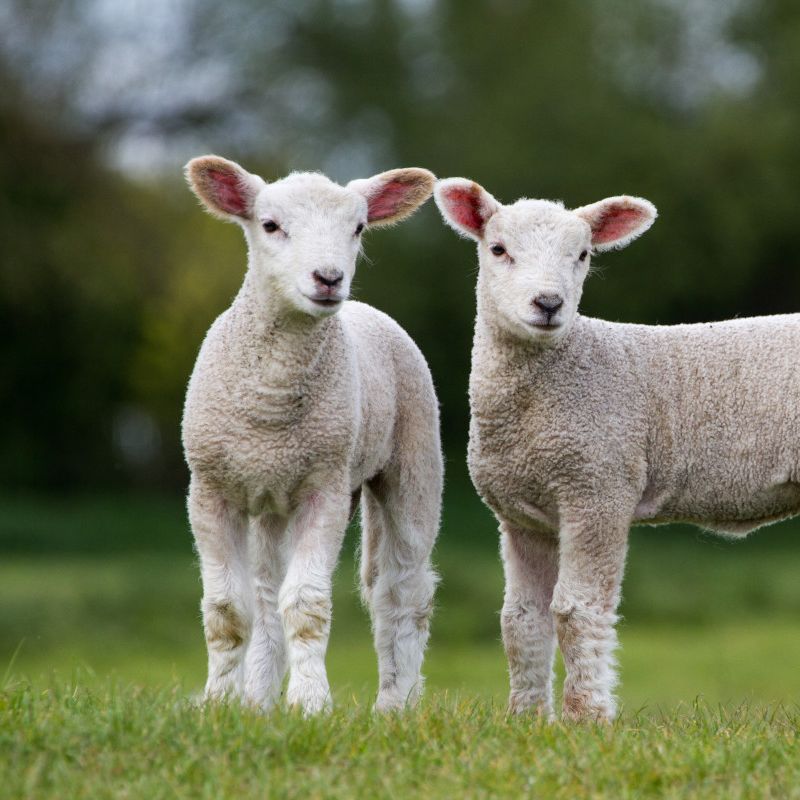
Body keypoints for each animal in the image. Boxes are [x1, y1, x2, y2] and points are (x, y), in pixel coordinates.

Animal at [182, 155, 442, 715]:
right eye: (270, 225)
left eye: (359, 227)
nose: (328, 278)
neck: (271, 405)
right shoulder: (210, 489)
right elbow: (227, 610)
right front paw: (220, 703)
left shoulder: (324, 488)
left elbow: (306, 605)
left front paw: (309, 704)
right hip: (272, 499)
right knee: (265, 594)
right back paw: (258, 698)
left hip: (414, 457)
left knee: (404, 591)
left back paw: (397, 704)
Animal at [434, 177, 800, 722]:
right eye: (498, 249)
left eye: (583, 254)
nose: (548, 303)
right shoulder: (522, 515)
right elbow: (520, 621)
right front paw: (526, 721)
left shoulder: (598, 485)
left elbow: (576, 611)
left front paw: (586, 717)